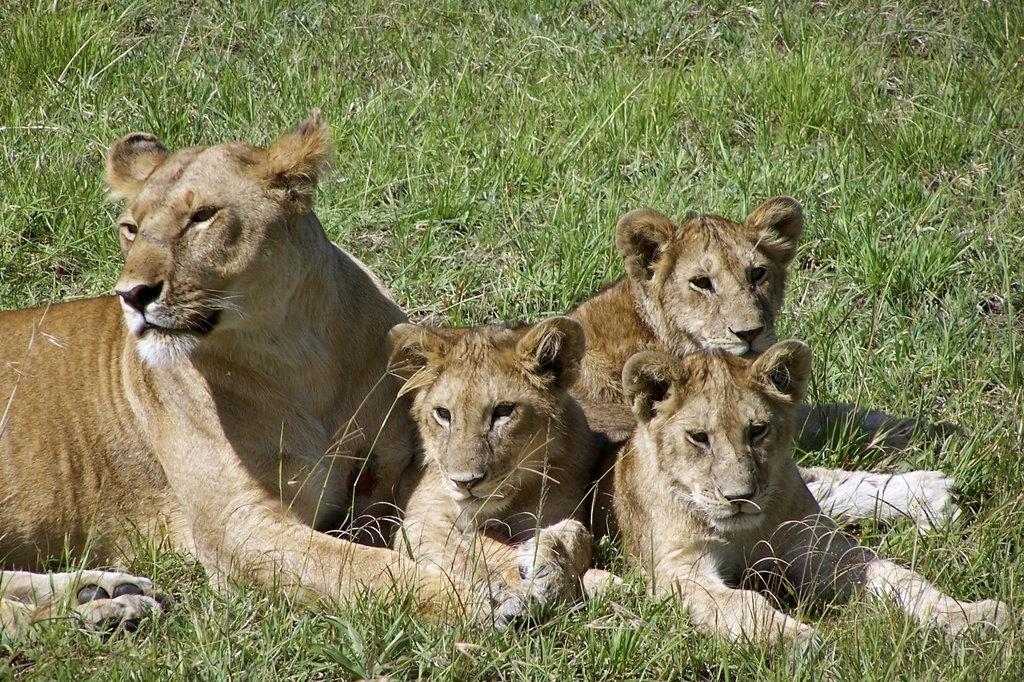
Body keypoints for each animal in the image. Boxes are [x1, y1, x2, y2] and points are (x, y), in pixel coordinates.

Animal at [0, 111, 479, 640]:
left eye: (202, 216)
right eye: (130, 228)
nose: (131, 294)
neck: (293, 353)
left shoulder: (397, 465)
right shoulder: (237, 527)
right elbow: (357, 567)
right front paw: (474, 601)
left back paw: (106, 595)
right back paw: (100, 610)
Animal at [387, 317, 601, 627]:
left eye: (503, 411)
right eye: (443, 414)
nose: (465, 482)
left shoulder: (555, 508)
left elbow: (579, 533)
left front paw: (550, 571)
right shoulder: (422, 519)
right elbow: (460, 556)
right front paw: (505, 592)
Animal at [574, 200, 956, 531]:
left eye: (757, 274)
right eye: (701, 282)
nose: (750, 332)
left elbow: (833, 413)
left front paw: (925, 430)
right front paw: (926, 494)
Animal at [613, 342, 1009, 647]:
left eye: (757, 430)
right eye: (699, 438)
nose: (740, 497)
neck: (744, 532)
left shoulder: (815, 543)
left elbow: (898, 577)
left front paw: (969, 615)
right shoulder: (676, 567)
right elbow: (738, 602)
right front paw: (792, 640)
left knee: (821, 482)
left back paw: (931, 494)